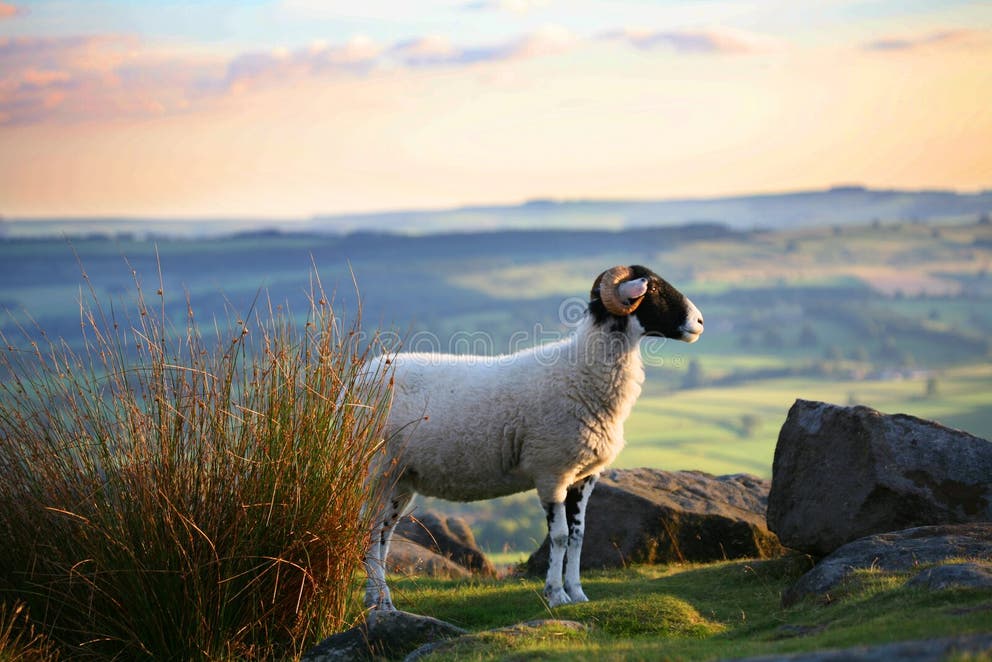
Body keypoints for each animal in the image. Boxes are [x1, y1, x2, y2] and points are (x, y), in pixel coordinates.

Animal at [364, 265, 704, 610]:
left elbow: (578, 536)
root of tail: (363, 372)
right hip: (374, 470)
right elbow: (560, 537)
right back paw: (383, 602)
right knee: (369, 530)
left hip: (400, 480)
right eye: (653, 289)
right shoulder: (551, 471)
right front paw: (555, 595)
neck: (581, 371)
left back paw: (375, 599)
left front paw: (577, 593)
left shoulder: (584, 476)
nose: (700, 322)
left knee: (383, 534)